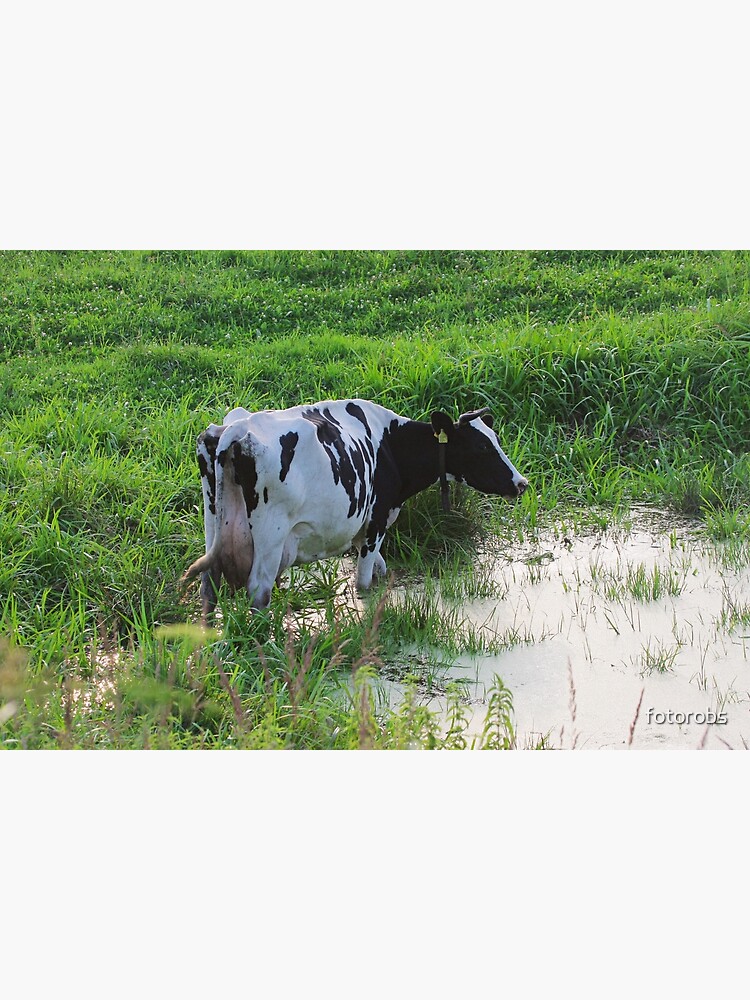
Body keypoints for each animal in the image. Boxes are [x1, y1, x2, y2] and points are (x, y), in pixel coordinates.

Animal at [182, 399, 528, 620]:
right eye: (481, 446)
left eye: (496, 439)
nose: (521, 483)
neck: (389, 446)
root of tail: (237, 428)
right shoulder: (376, 520)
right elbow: (364, 582)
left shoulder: (366, 528)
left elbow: (381, 570)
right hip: (270, 538)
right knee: (258, 591)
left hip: (214, 522)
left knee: (208, 585)